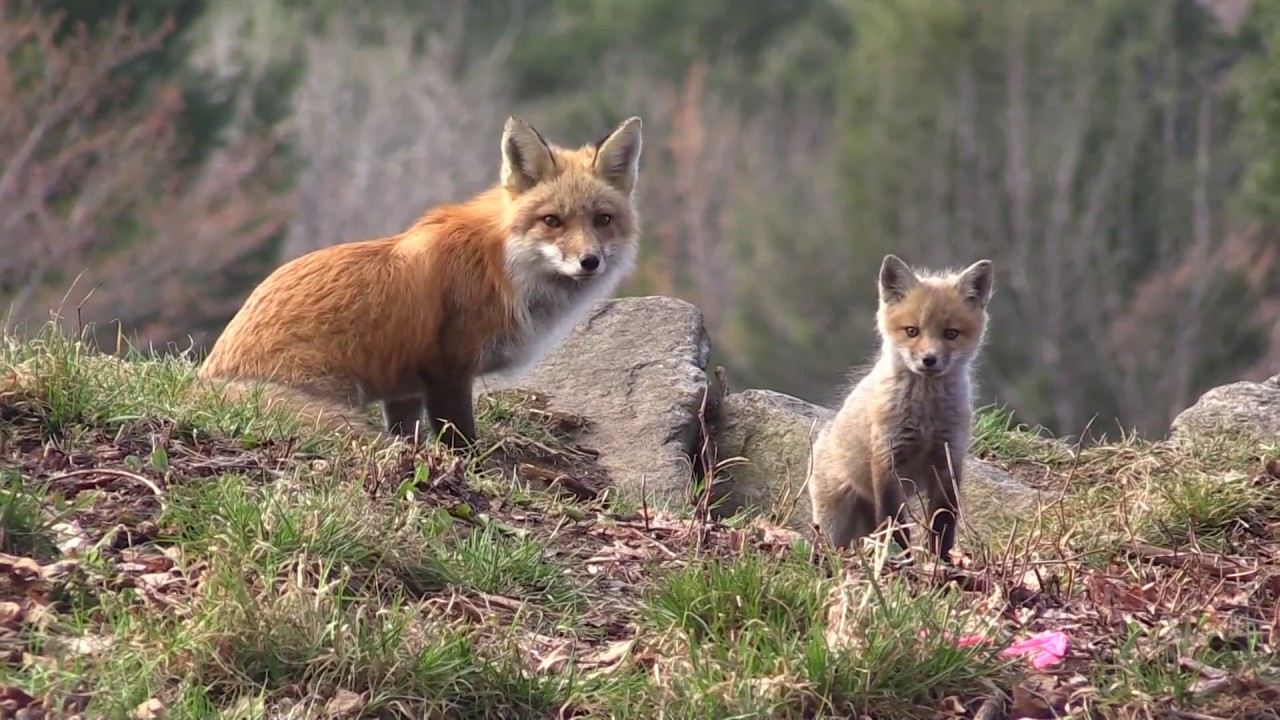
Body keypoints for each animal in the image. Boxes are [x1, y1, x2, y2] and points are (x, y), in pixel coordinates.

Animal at [196, 115, 645, 449]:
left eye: (602, 220)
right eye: (552, 220)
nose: (590, 261)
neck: (502, 267)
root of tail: (205, 380)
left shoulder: (404, 389)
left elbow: (409, 436)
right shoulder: (448, 367)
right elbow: (461, 440)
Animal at [806, 253, 995, 563]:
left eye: (951, 333)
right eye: (912, 331)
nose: (929, 359)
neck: (926, 418)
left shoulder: (948, 460)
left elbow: (943, 524)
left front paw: (941, 564)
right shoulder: (888, 461)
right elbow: (895, 524)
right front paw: (902, 561)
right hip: (836, 522)